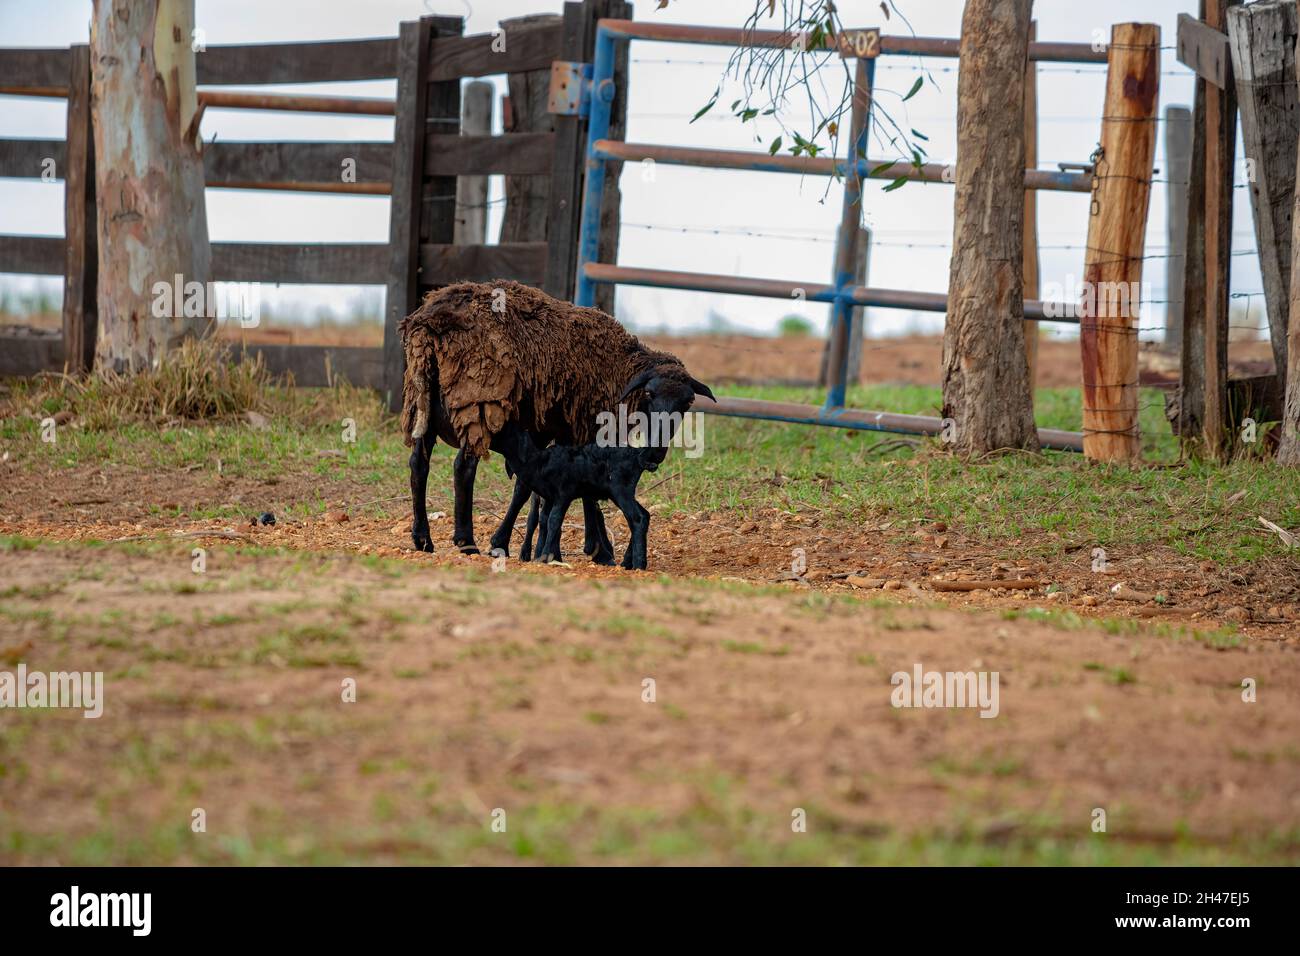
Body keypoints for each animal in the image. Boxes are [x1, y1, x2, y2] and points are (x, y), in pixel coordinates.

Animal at [398, 279, 714, 559]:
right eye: (649, 394)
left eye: (687, 403)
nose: (656, 454)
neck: (619, 368)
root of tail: (428, 324)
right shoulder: (583, 428)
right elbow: (578, 489)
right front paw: (597, 549)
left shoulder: (544, 432)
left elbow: (527, 488)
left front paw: (521, 545)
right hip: (476, 400)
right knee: (462, 468)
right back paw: (466, 541)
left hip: (421, 402)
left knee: (418, 465)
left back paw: (422, 538)